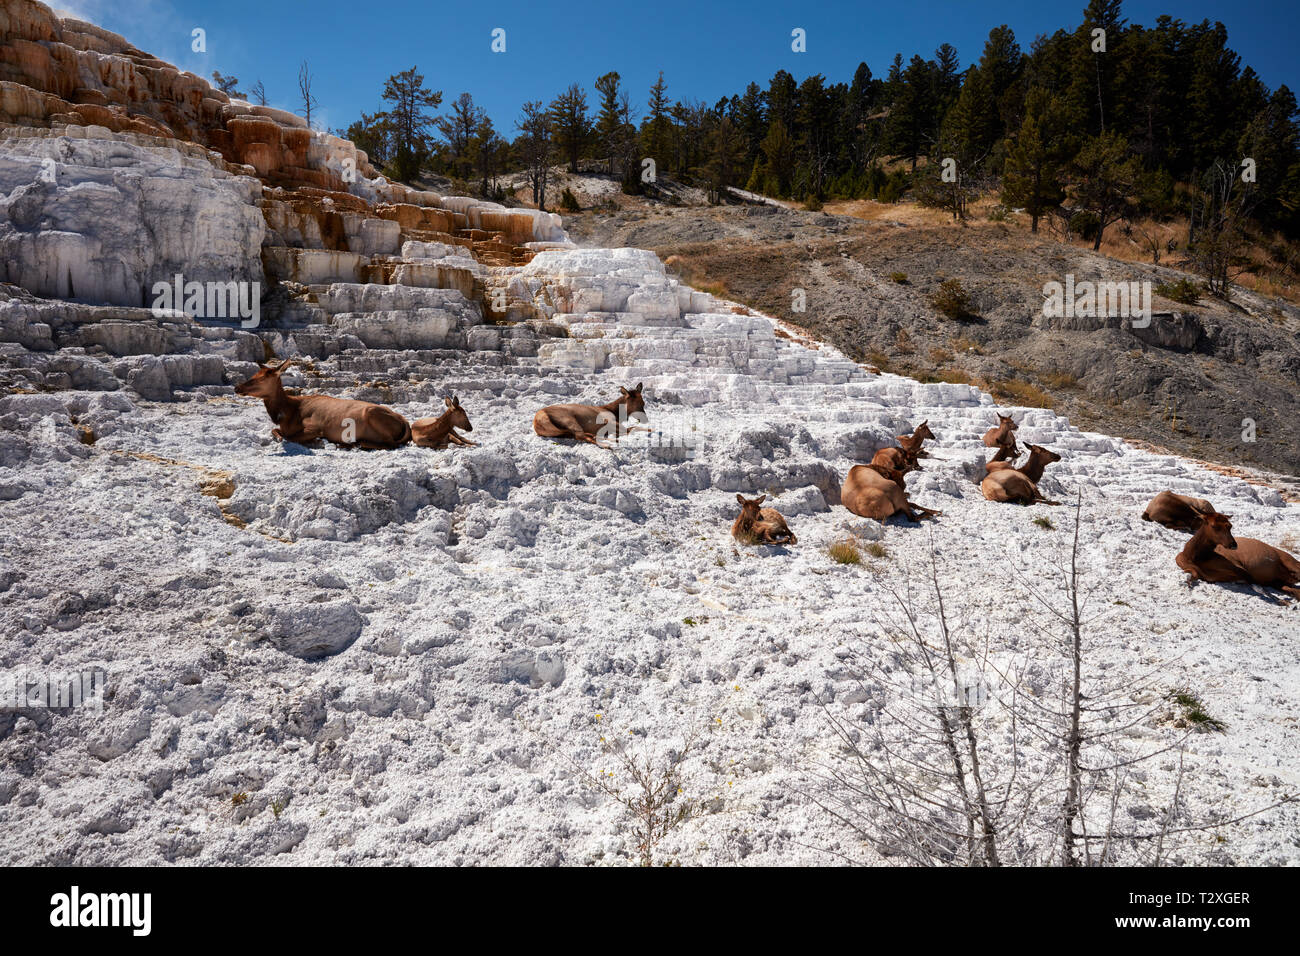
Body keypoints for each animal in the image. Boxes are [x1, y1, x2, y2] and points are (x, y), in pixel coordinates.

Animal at [235, 360, 411, 449]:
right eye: (254, 374)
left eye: (262, 378)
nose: (237, 387)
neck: (288, 413)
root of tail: (405, 422)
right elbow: (275, 431)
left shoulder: (316, 426)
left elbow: (288, 437)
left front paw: (316, 441)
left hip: (372, 413)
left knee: (391, 443)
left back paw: (357, 443)